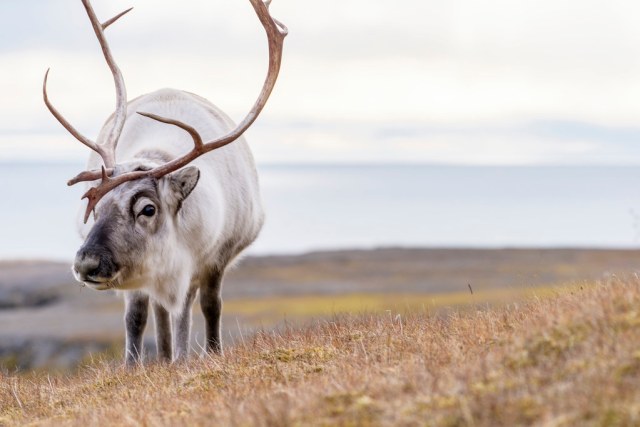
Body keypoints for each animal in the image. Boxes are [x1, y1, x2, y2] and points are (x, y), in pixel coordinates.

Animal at [43, 0, 287, 365]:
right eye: (94, 206)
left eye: (148, 208)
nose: (86, 263)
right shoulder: (137, 275)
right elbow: (136, 317)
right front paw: (133, 367)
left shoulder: (203, 262)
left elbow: (194, 310)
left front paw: (188, 358)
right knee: (155, 312)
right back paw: (161, 356)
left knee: (205, 307)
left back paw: (194, 352)